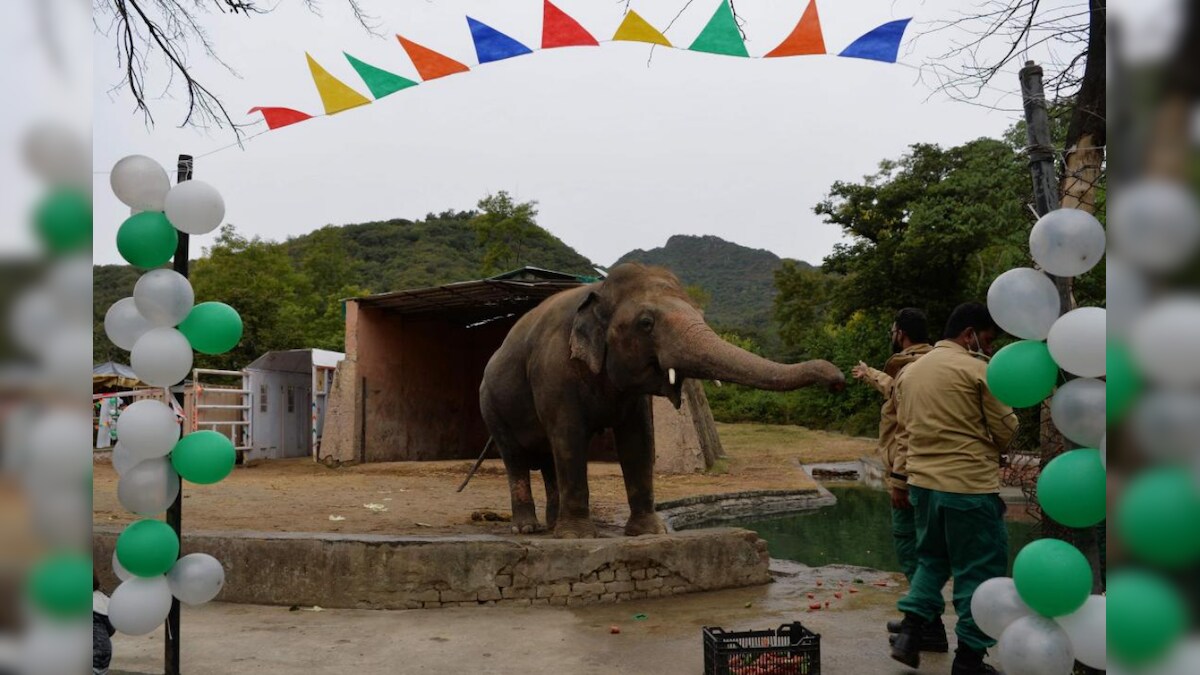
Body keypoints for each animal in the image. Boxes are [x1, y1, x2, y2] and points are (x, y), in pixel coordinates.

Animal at [479, 263, 845, 538]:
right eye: (646, 323)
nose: (838, 380)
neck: (599, 290)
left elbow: (639, 440)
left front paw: (649, 533)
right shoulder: (553, 371)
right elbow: (569, 438)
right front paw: (578, 538)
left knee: (547, 460)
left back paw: (552, 525)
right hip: (490, 406)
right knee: (517, 458)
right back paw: (528, 529)